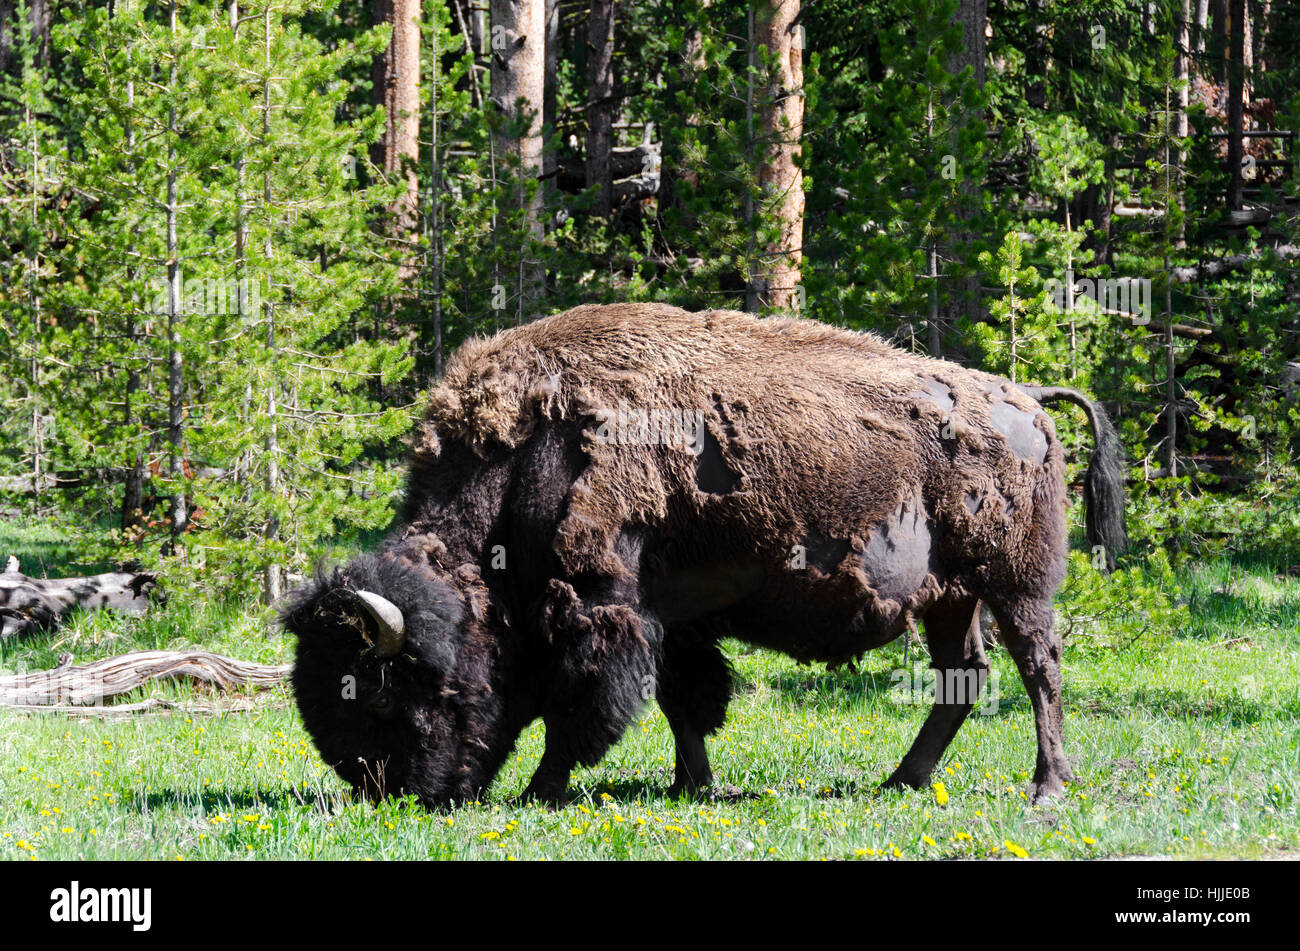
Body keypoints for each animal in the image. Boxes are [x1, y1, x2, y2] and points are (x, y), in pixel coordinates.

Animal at [284, 304, 1126, 807]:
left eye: (386, 693)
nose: (397, 793)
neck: (524, 461)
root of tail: (1025, 399)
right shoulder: (672, 620)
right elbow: (680, 698)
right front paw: (692, 782)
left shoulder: (596, 609)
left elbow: (579, 702)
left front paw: (542, 788)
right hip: (950, 595)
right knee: (964, 675)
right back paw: (902, 779)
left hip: (1015, 584)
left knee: (1040, 666)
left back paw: (1048, 788)